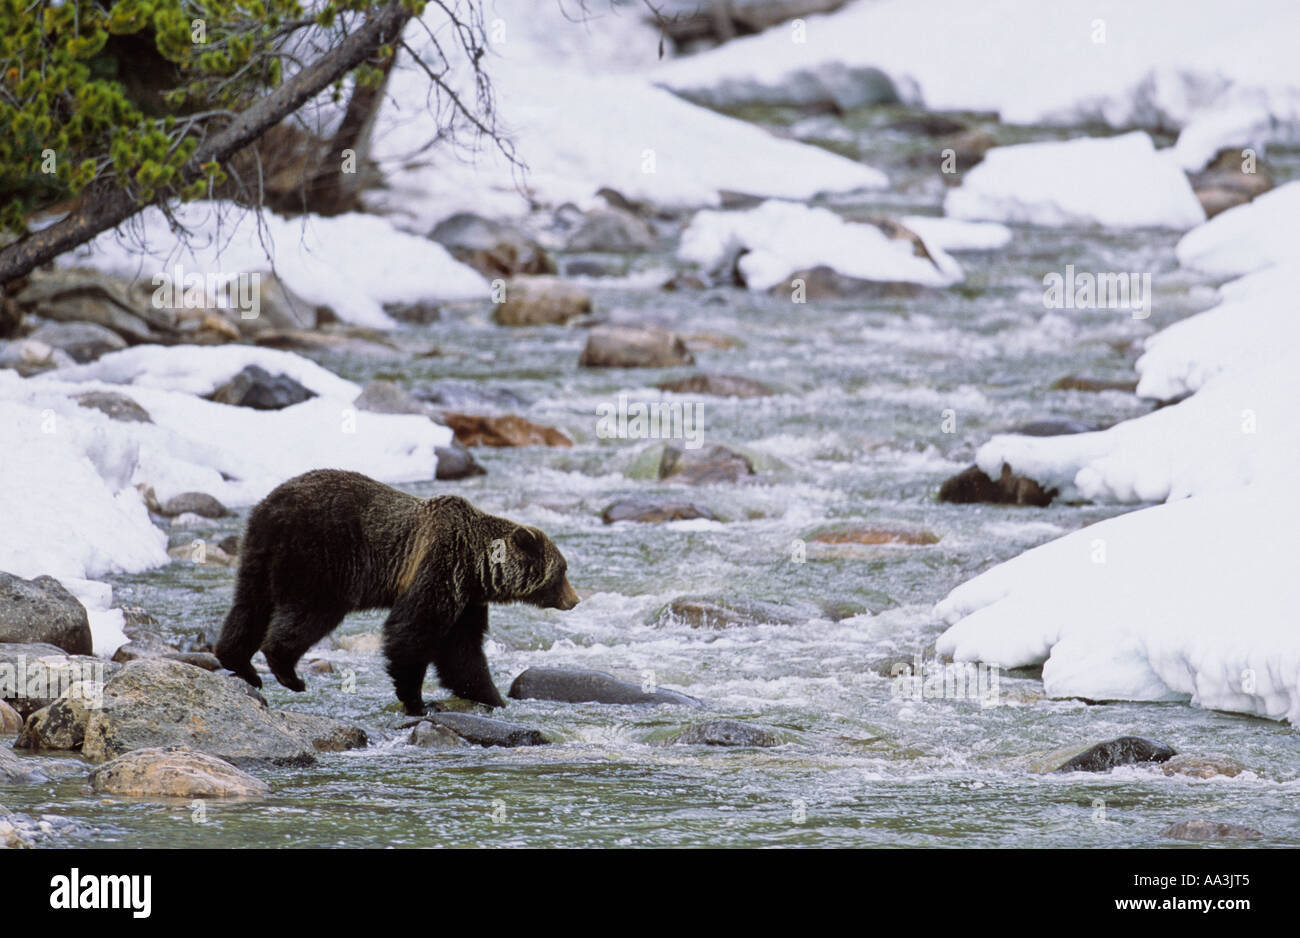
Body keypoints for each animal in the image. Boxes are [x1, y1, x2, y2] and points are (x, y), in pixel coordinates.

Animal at [215, 469, 578, 714]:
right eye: (562, 570)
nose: (574, 600)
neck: (478, 567)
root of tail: (272, 506)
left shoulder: (466, 597)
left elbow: (462, 651)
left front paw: (490, 696)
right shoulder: (439, 565)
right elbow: (412, 631)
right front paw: (417, 700)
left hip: (258, 551)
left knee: (249, 605)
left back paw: (240, 663)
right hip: (322, 555)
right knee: (310, 611)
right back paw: (287, 671)